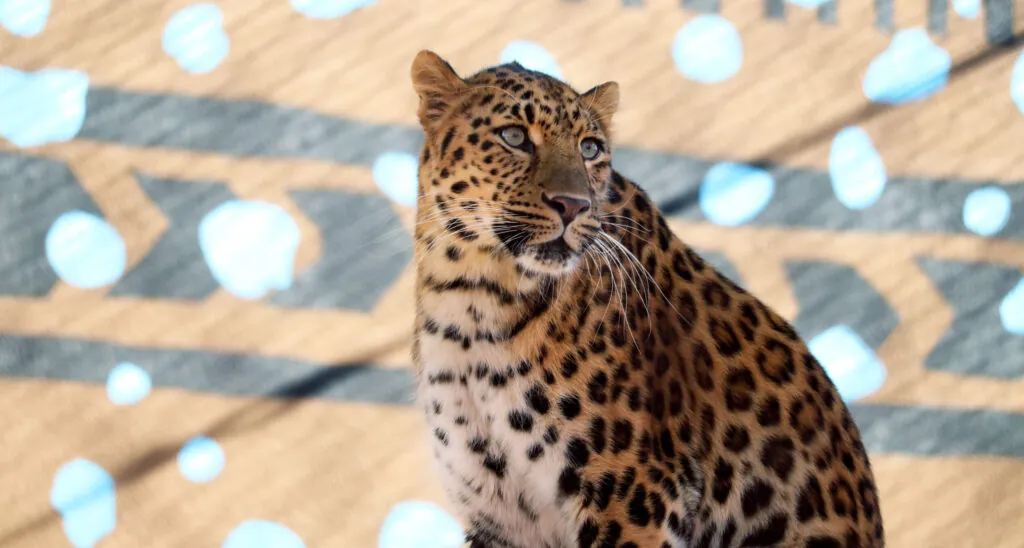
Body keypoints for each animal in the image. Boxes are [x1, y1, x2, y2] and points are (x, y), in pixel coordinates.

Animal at [409, 50, 884, 548]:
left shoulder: (633, 488)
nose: (573, 205)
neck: (470, 298)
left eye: (590, 148)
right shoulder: (498, 517)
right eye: (514, 137)